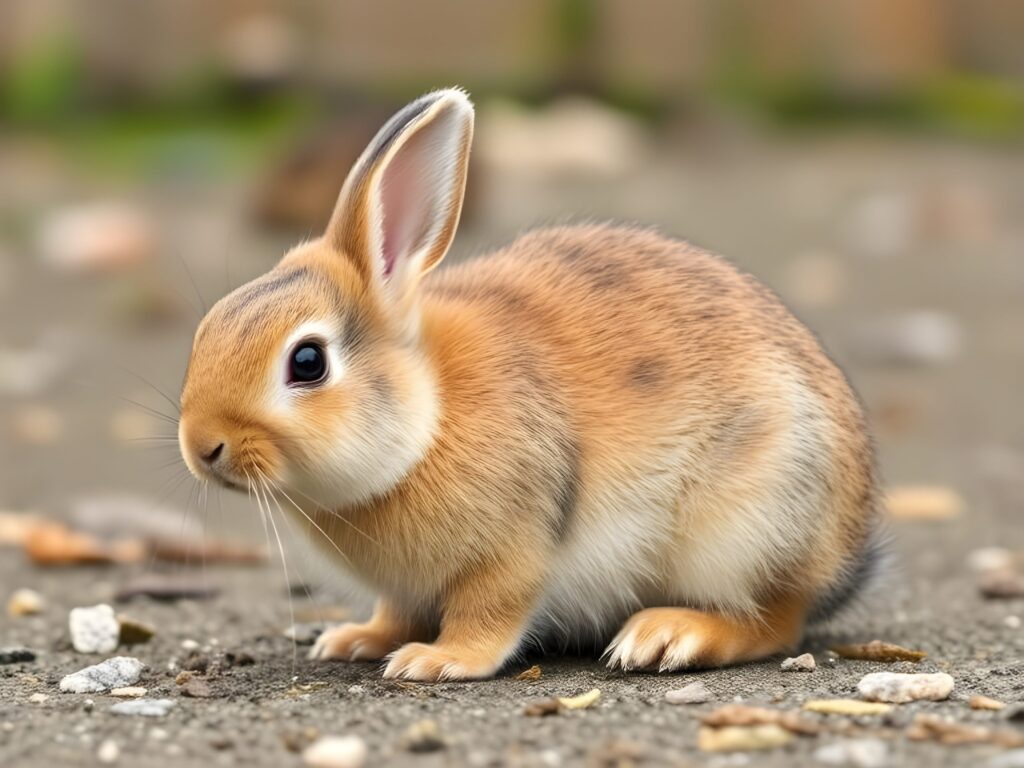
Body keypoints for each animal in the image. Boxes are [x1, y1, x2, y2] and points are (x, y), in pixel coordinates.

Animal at [179, 88, 883, 681]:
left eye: (307, 362)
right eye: (207, 326)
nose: (202, 446)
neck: (428, 417)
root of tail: (845, 544)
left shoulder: (515, 546)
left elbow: (490, 611)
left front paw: (436, 661)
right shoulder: (407, 589)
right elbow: (395, 612)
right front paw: (357, 640)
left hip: (746, 526)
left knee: (775, 619)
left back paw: (665, 636)